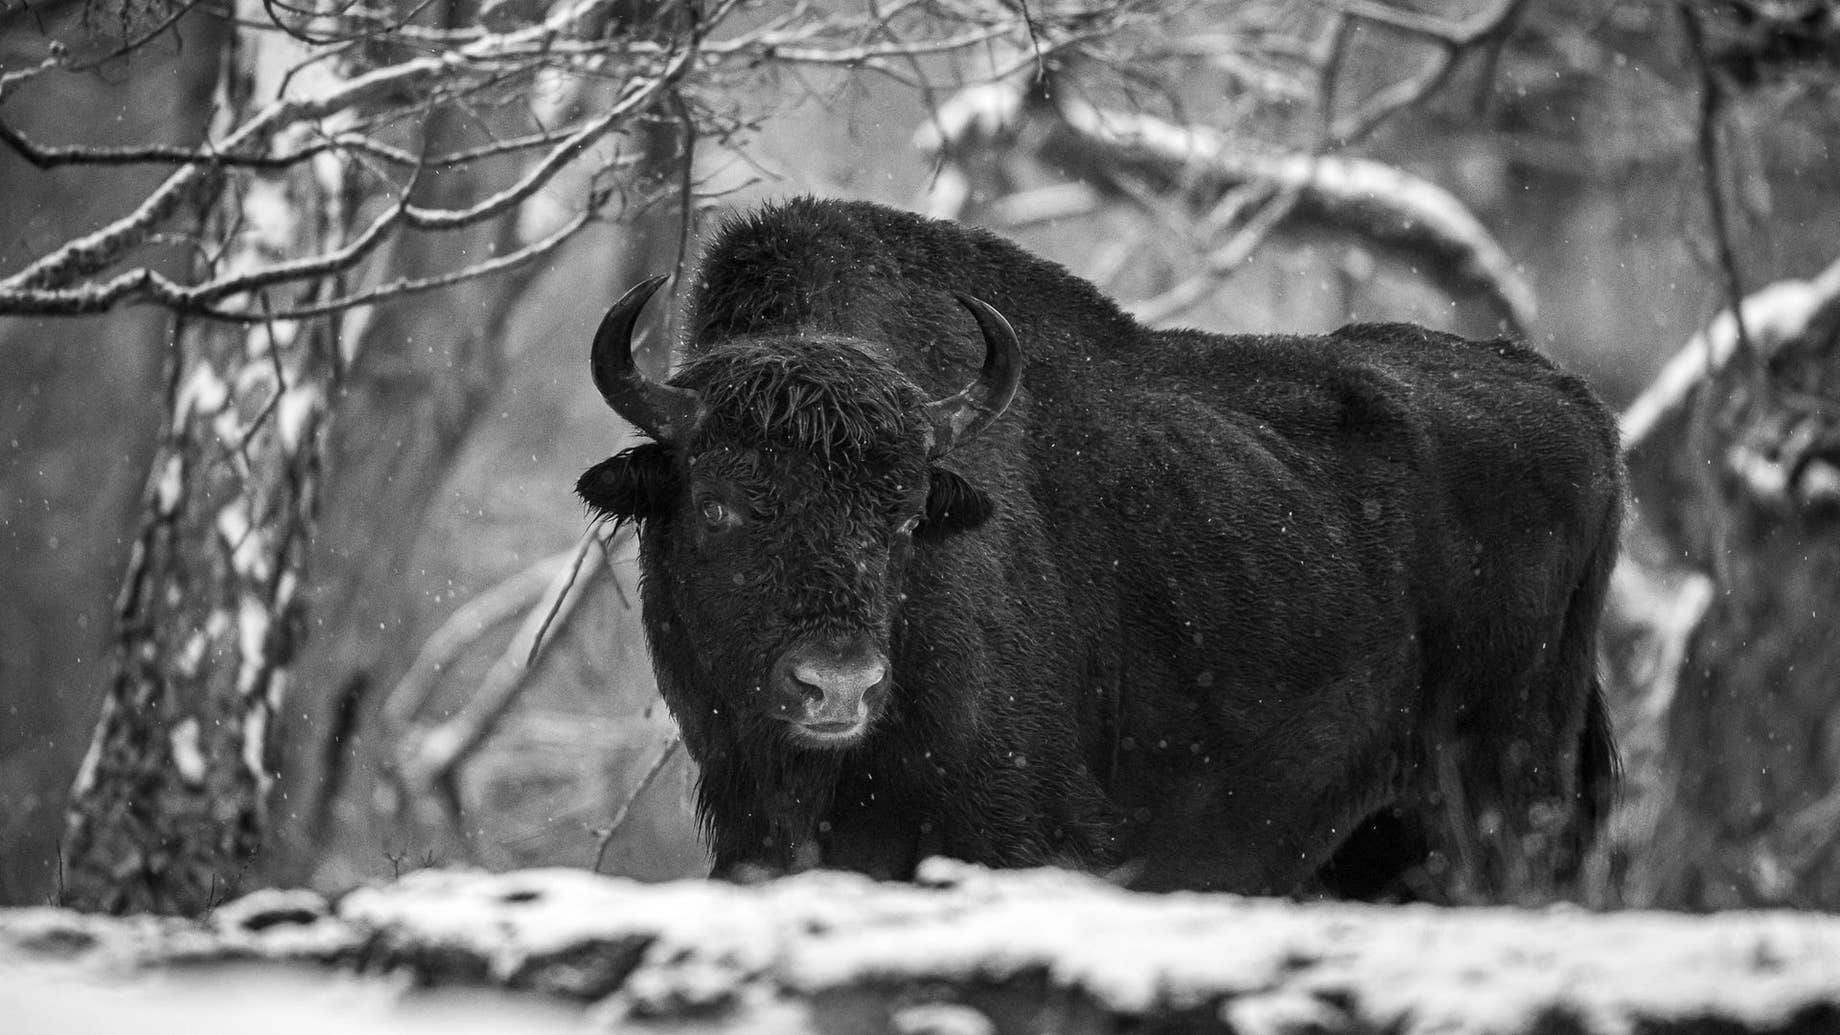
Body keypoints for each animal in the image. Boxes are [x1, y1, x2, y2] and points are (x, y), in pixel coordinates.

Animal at [577, 197, 1621, 899]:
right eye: (717, 505)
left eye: (907, 516)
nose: (837, 686)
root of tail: (1576, 406)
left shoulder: (1016, 837)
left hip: (1499, 802)